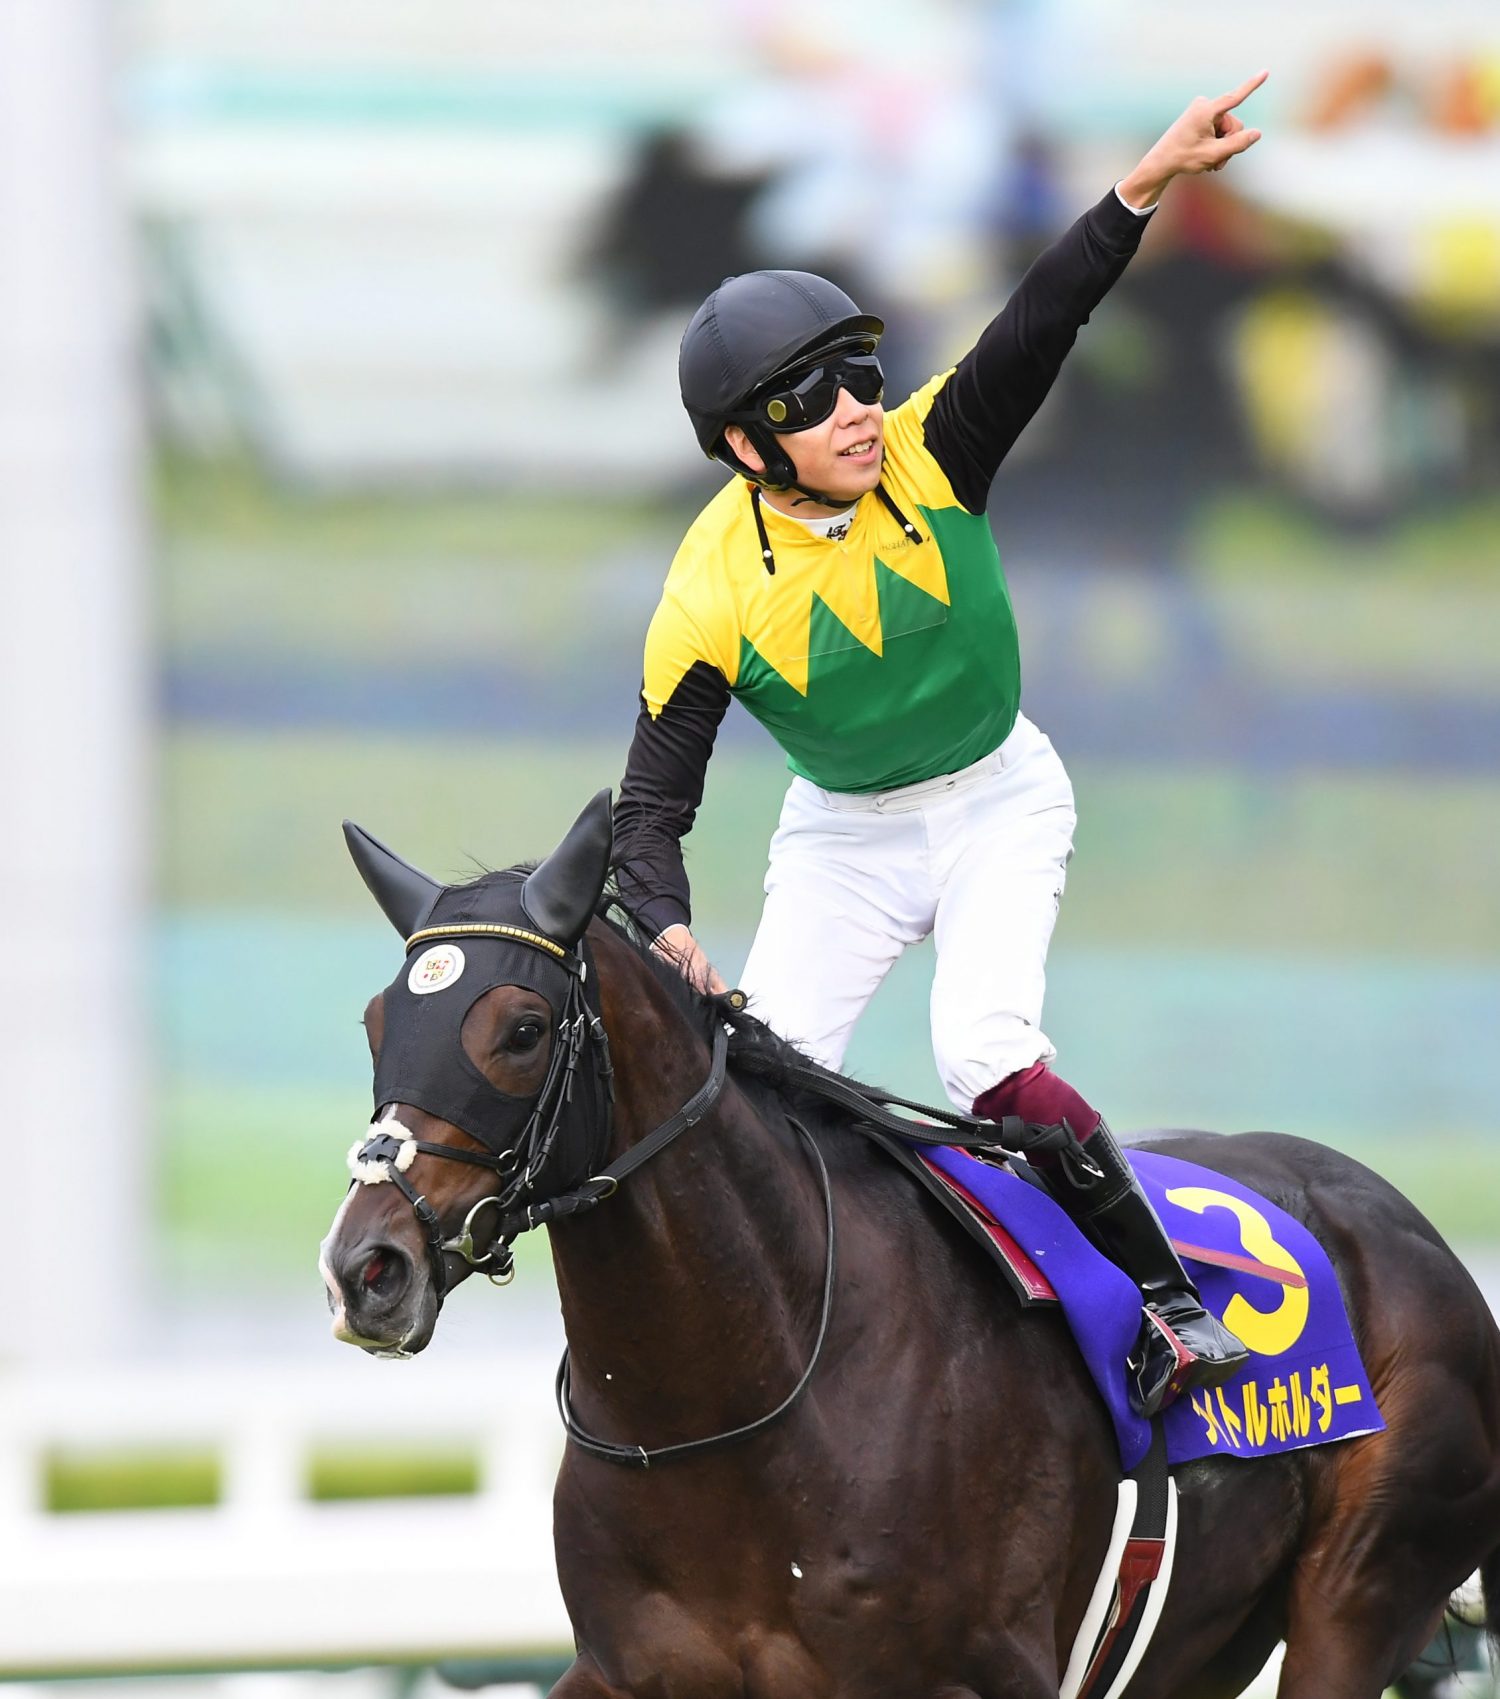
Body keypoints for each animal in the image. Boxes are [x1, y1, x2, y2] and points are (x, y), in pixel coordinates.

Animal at [320, 792, 1500, 1699]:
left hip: (1359, 1590)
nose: (365, 1268)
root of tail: (1416, 1233)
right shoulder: (629, 1666)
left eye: (520, 1029)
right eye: (377, 1023)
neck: (745, 1392)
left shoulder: (976, 1675)